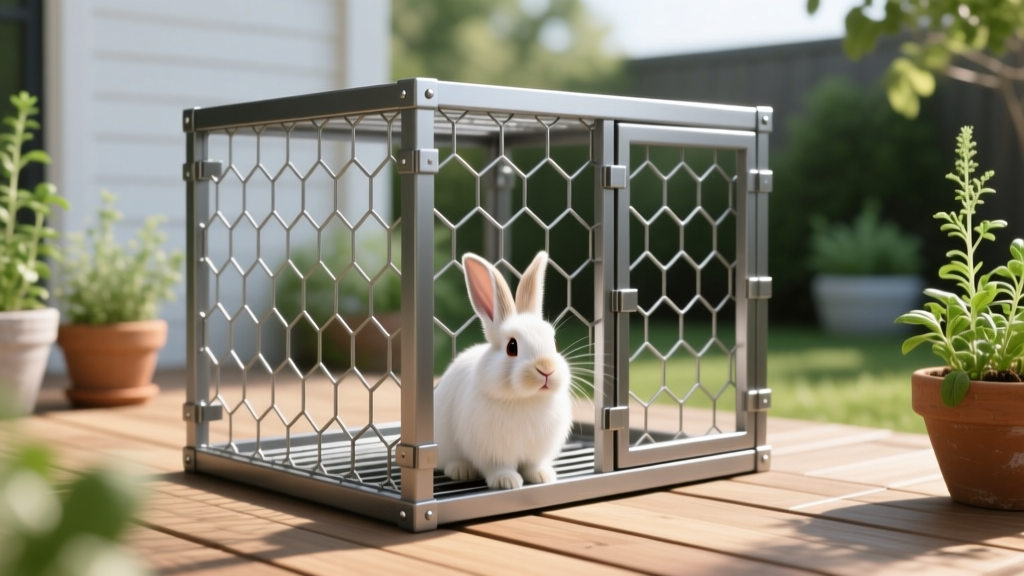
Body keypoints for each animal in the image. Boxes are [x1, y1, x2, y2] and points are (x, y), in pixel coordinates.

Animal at [433, 250, 573, 490]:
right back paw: (461, 470)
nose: (546, 369)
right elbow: (500, 467)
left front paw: (542, 476)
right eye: (512, 347)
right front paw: (507, 482)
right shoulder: (492, 452)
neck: (526, 400)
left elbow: (533, 465)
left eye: (554, 344)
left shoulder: (537, 452)